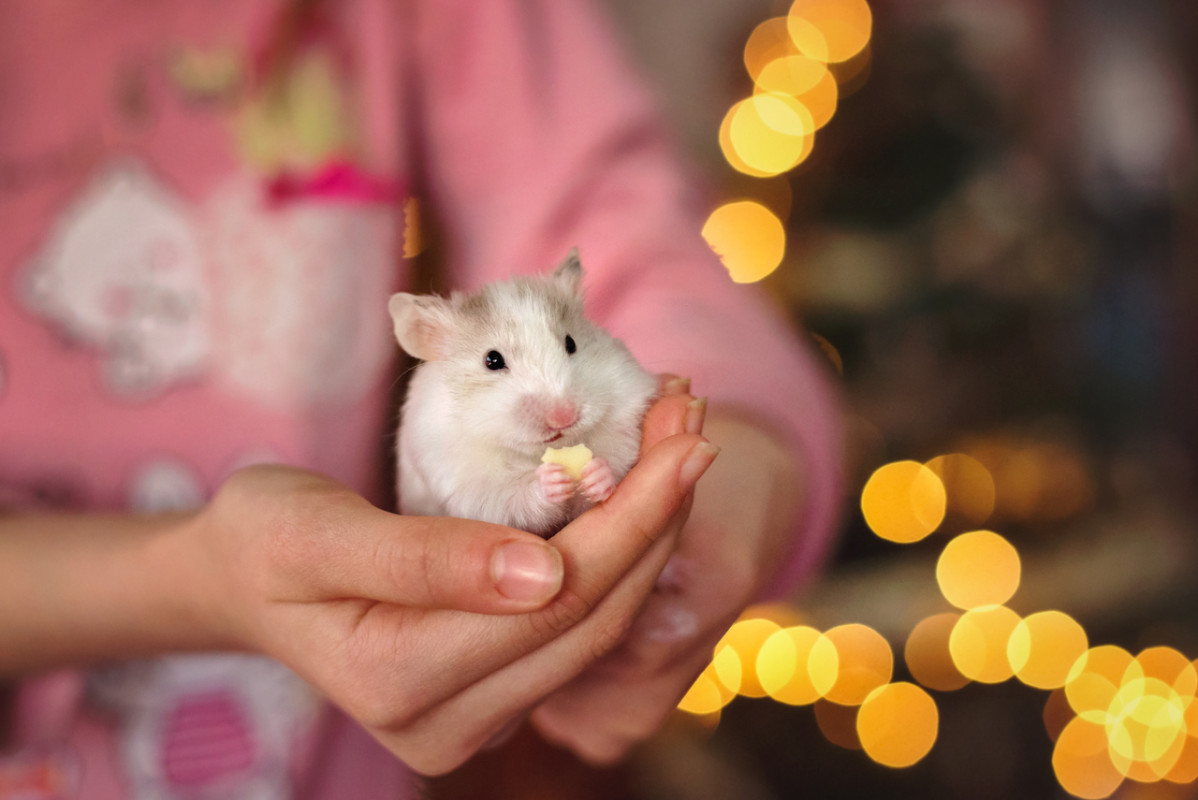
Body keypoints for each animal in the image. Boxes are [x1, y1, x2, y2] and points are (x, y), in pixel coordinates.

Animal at [389, 249, 658, 537]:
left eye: (571, 343)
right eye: (492, 360)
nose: (564, 417)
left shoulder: (623, 419)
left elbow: (612, 463)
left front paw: (597, 473)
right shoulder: (466, 482)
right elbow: (511, 498)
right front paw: (550, 480)